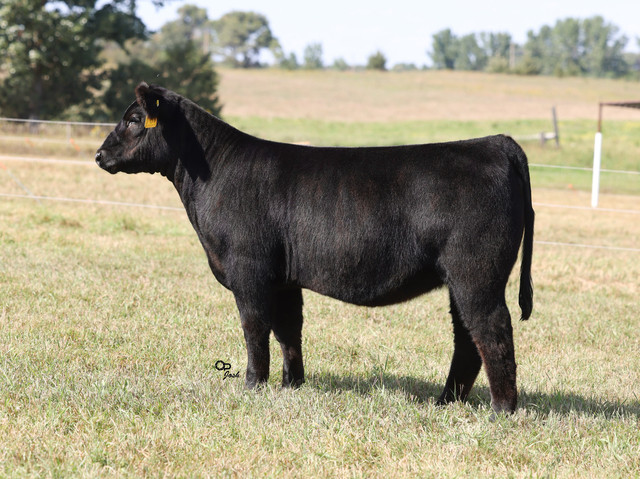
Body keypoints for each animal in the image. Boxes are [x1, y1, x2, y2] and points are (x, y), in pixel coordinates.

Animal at [95, 82, 534, 414]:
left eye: (134, 119)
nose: (100, 154)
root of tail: (495, 142)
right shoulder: (285, 278)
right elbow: (289, 330)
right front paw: (292, 385)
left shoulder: (249, 270)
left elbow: (255, 327)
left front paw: (253, 386)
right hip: (460, 278)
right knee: (467, 338)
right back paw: (446, 403)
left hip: (476, 273)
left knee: (492, 330)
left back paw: (501, 410)